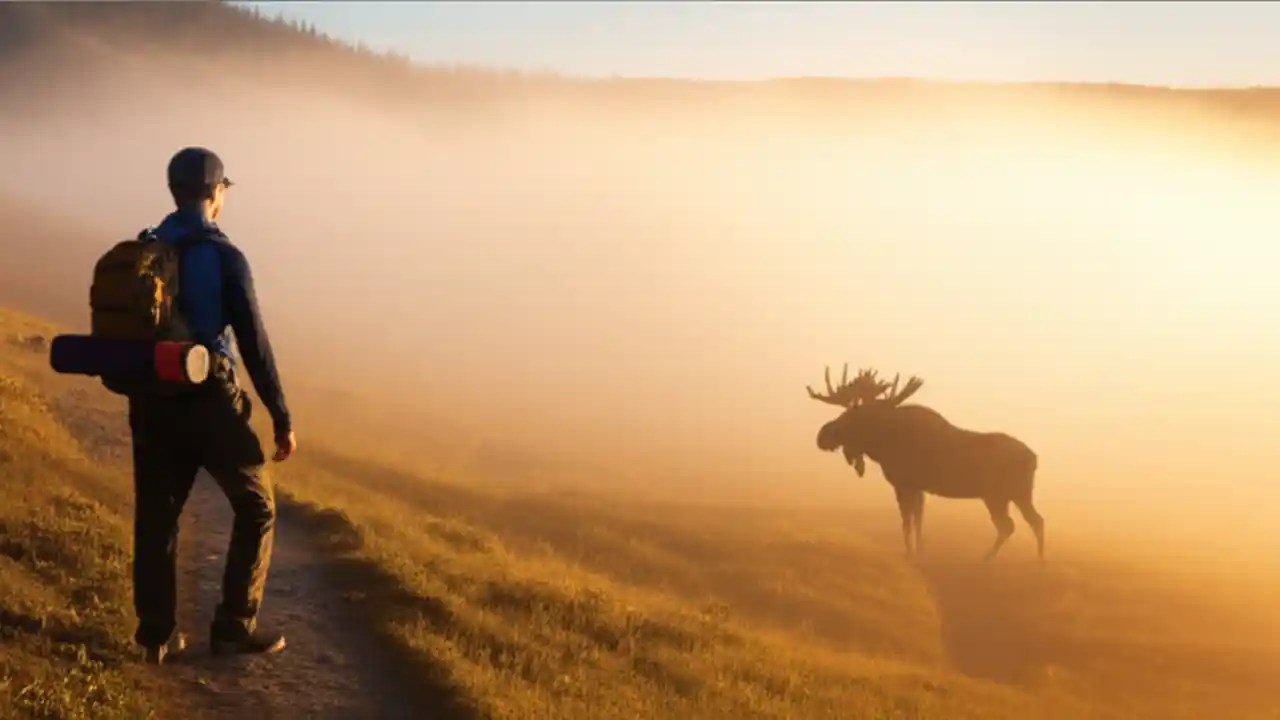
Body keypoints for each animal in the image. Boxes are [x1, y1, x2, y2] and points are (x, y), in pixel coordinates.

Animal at [808, 365, 1044, 561]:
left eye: (852, 417)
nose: (822, 435)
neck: (883, 445)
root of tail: (1034, 458)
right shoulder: (919, 488)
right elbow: (918, 519)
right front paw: (920, 550)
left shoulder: (904, 485)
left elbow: (906, 521)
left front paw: (909, 552)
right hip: (1014, 495)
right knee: (1032, 521)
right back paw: (1037, 561)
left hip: (999, 495)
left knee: (1011, 525)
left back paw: (990, 559)